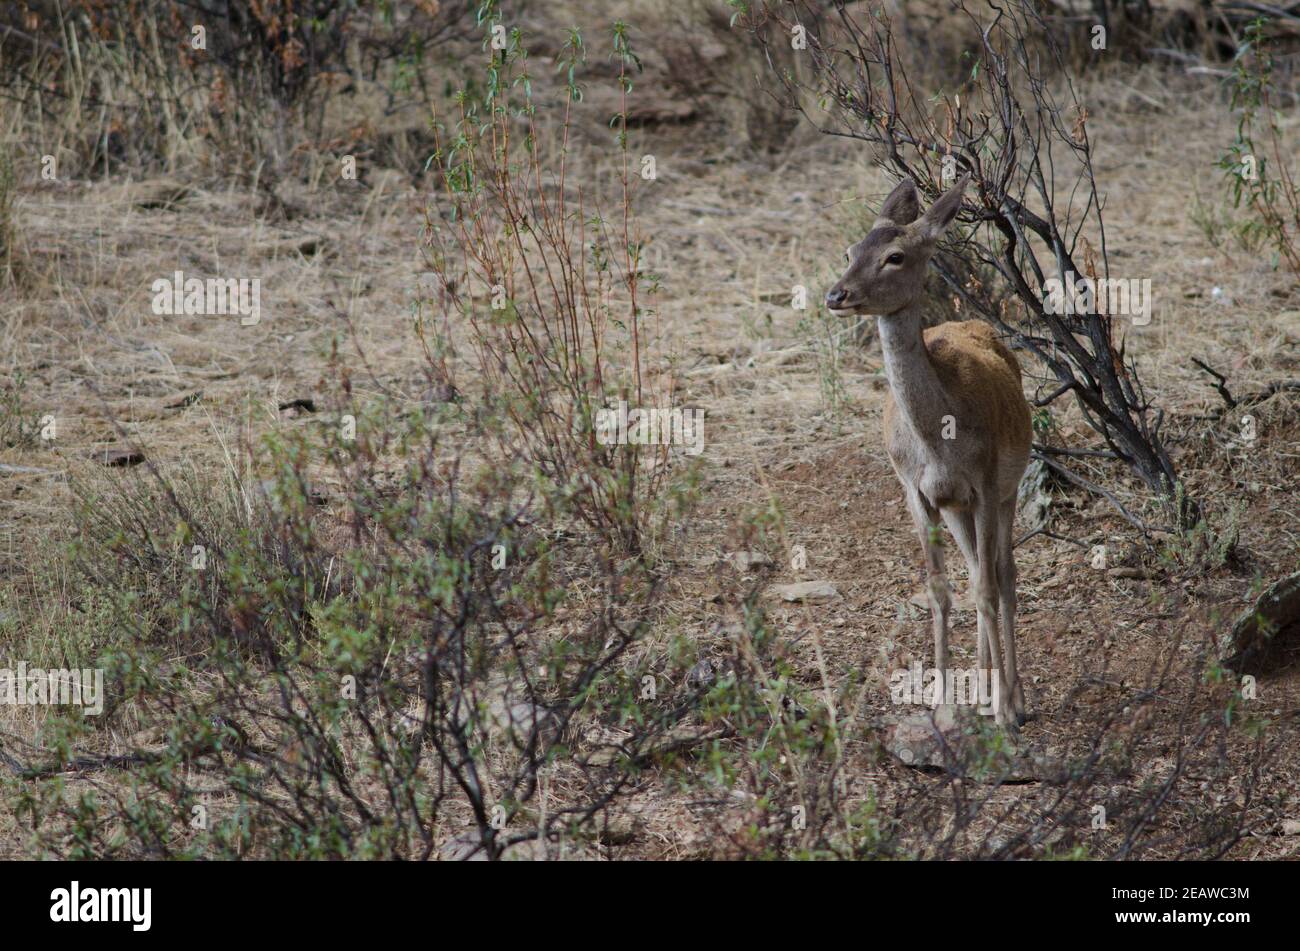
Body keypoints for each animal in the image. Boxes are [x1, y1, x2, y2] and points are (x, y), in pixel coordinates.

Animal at [824, 175, 1032, 728]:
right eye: (850, 251)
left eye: (894, 256)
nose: (836, 293)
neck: (938, 442)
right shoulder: (916, 491)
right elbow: (940, 590)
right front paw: (943, 708)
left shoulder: (985, 481)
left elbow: (988, 586)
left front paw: (1004, 710)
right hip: (957, 507)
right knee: (977, 568)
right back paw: (981, 691)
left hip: (1009, 488)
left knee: (1003, 574)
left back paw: (1012, 697)